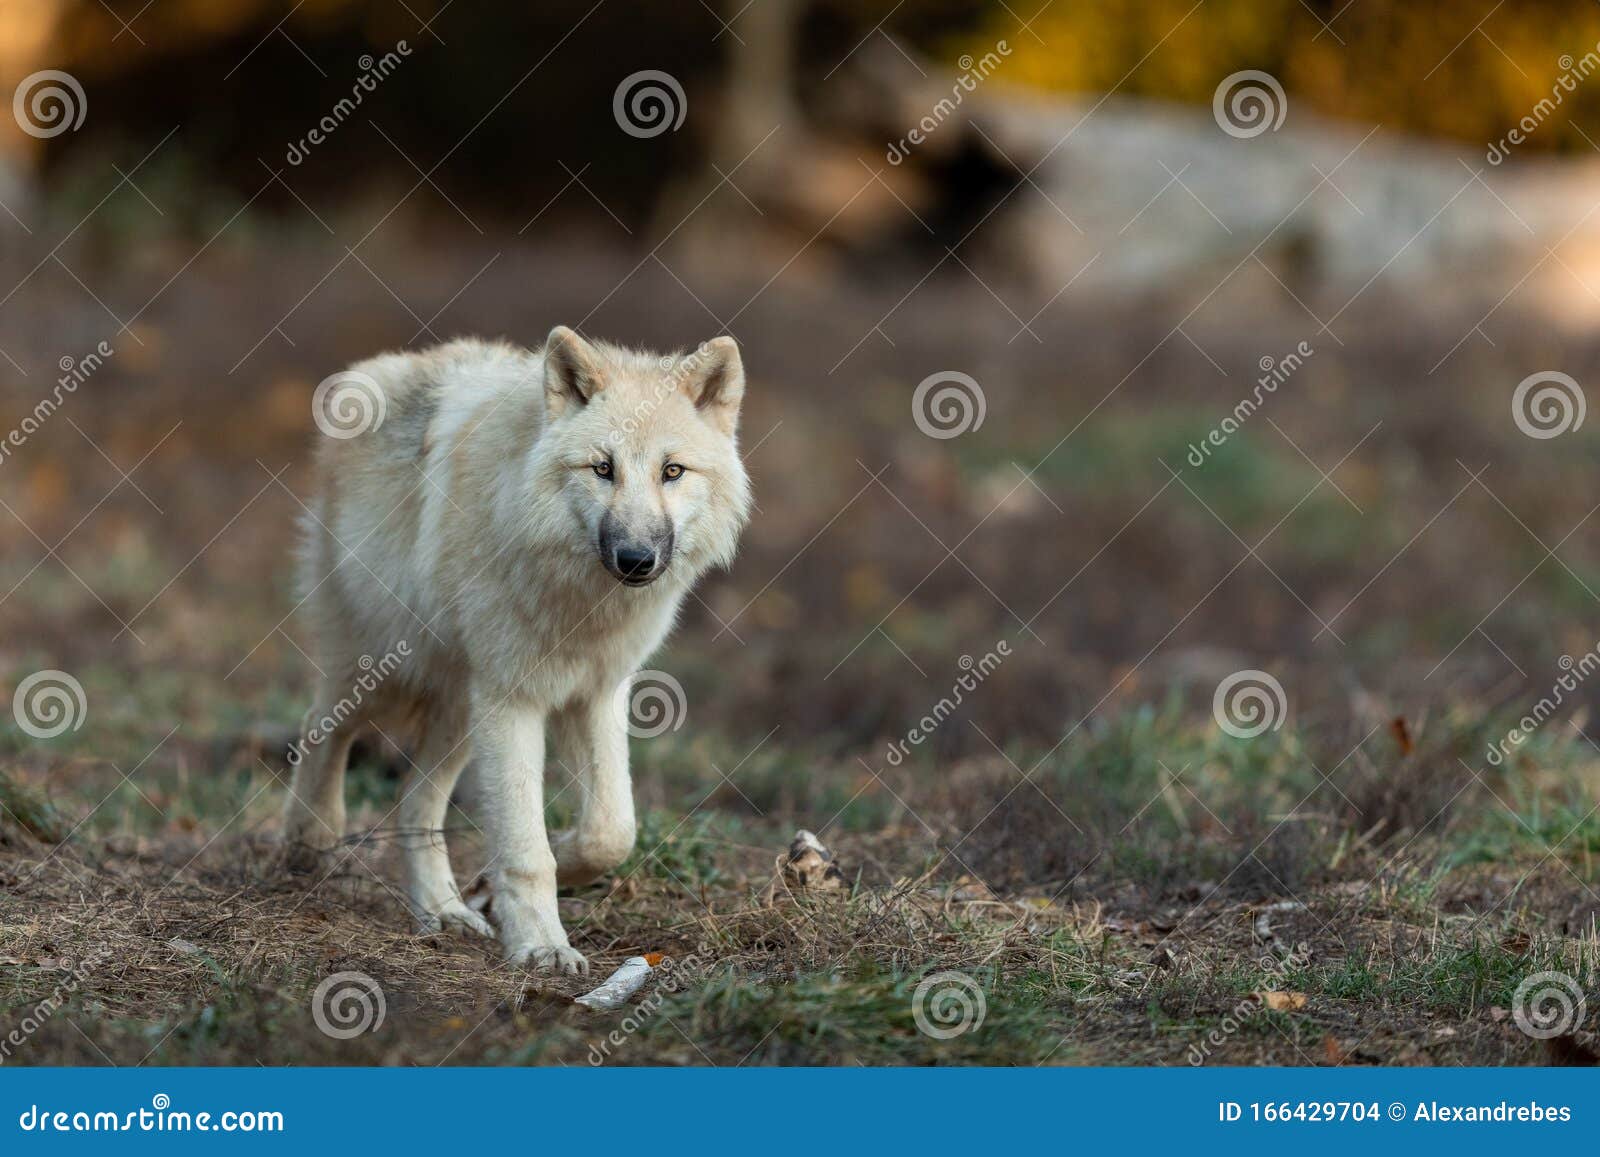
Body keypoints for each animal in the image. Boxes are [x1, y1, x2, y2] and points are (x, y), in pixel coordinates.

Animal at [283, 327, 751, 973]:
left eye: (672, 471)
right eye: (602, 468)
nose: (635, 559)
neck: (580, 604)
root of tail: (373, 375)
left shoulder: (598, 694)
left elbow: (611, 832)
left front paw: (494, 888)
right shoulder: (514, 700)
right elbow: (529, 850)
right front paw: (542, 947)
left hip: (460, 709)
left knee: (412, 802)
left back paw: (443, 910)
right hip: (385, 672)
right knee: (320, 725)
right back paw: (310, 838)